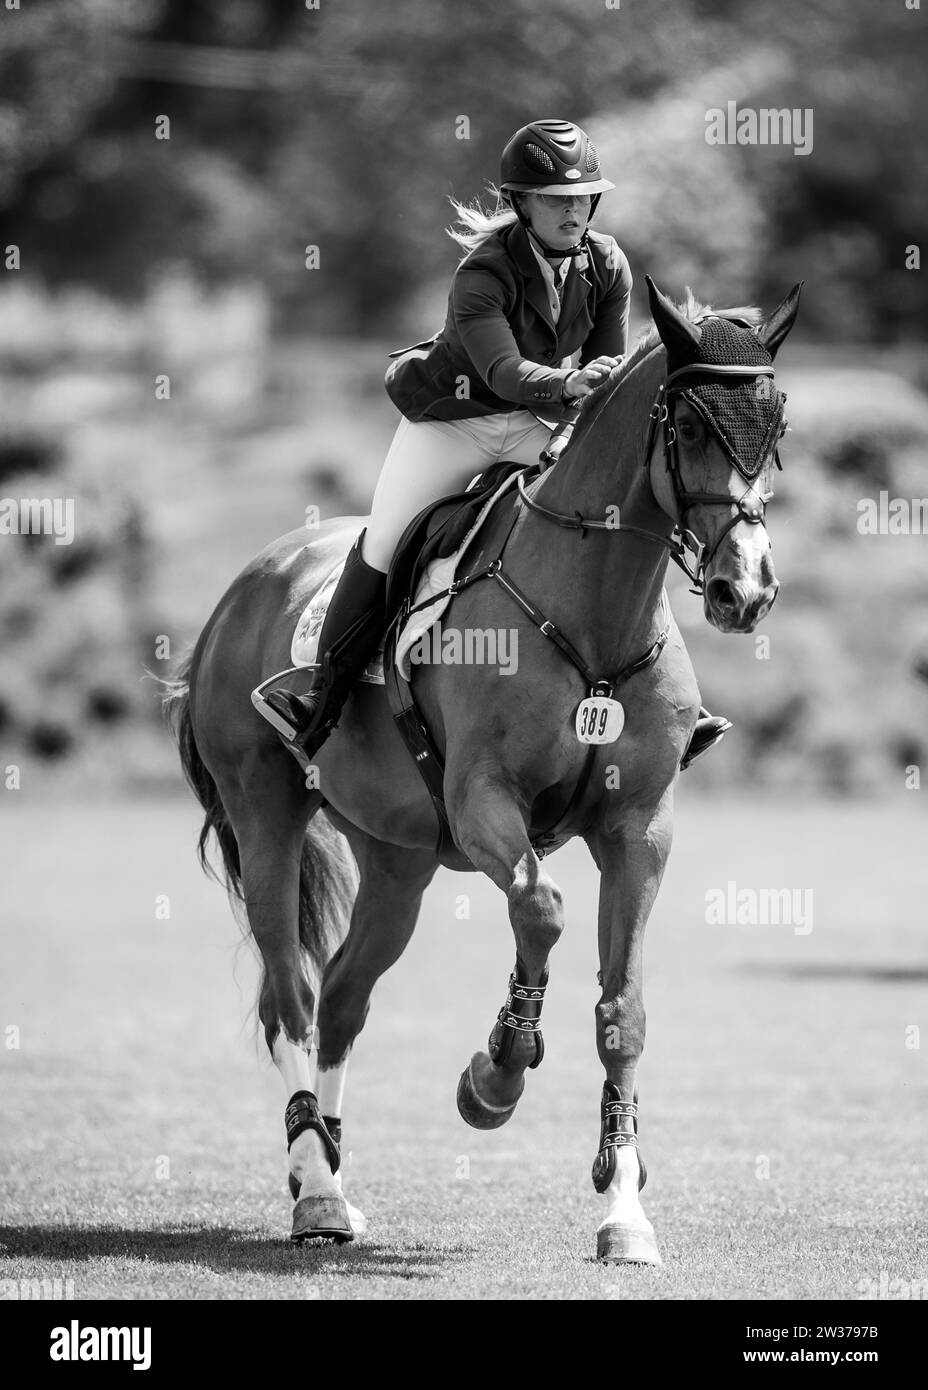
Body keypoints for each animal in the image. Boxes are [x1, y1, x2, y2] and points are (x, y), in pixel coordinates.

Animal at [164, 276, 801, 1264]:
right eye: (692, 427)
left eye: (776, 426)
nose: (747, 592)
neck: (593, 620)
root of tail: (247, 583)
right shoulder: (483, 803)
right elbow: (540, 909)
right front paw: (494, 1077)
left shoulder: (638, 831)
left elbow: (622, 1015)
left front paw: (624, 1213)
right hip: (266, 812)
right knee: (292, 999)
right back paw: (316, 1194)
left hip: (398, 859)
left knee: (343, 998)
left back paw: (332, 1179)